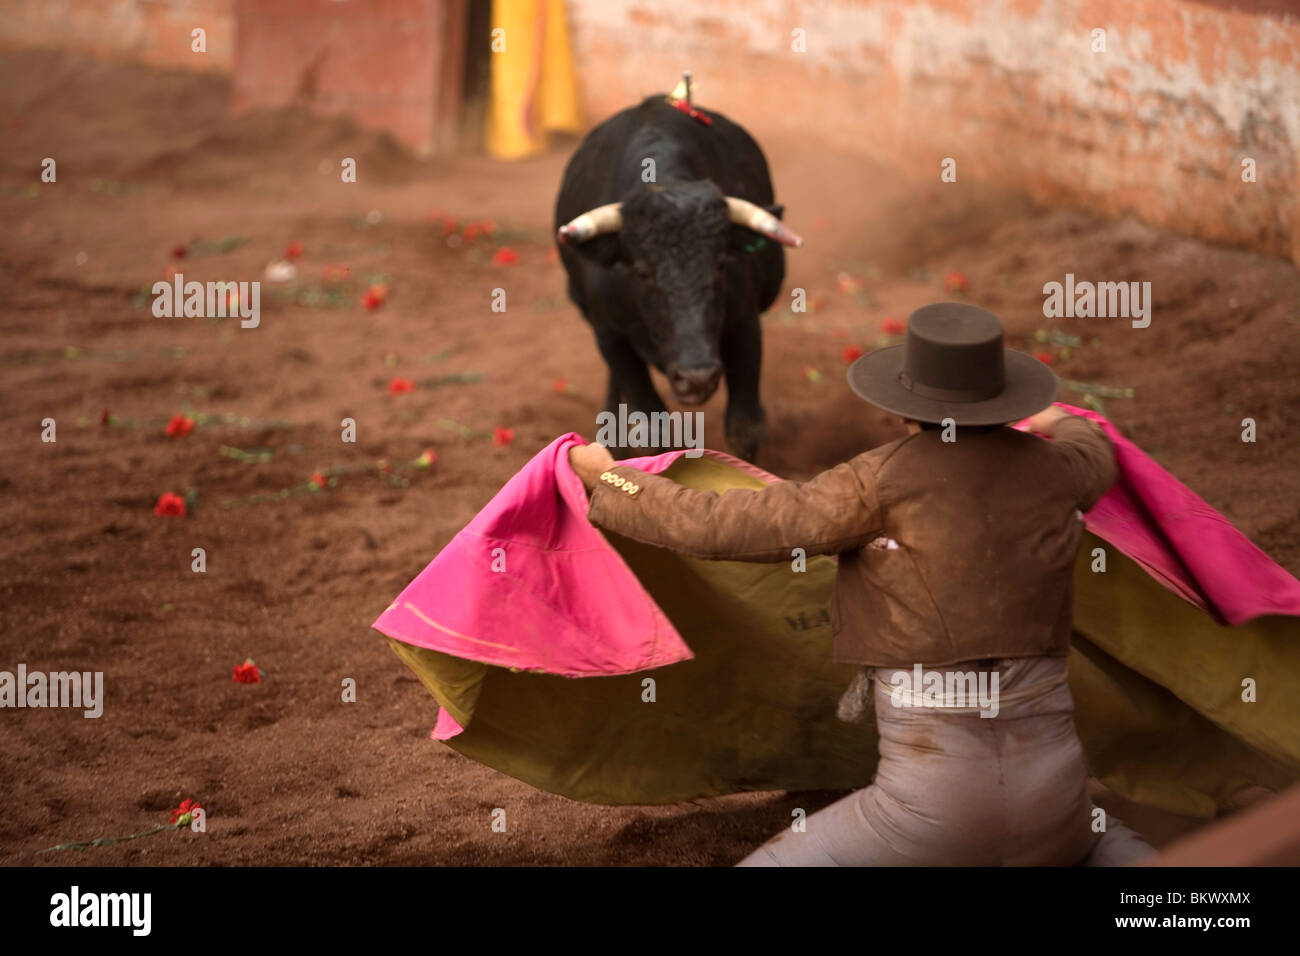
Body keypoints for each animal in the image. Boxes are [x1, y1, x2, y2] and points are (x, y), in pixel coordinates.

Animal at [554, 93, 801, 462]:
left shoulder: (745, 323)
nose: (697, 378)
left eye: (720, 266)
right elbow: (651, 430)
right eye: (642, 271)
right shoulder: (609, 332)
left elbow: (744, 426)